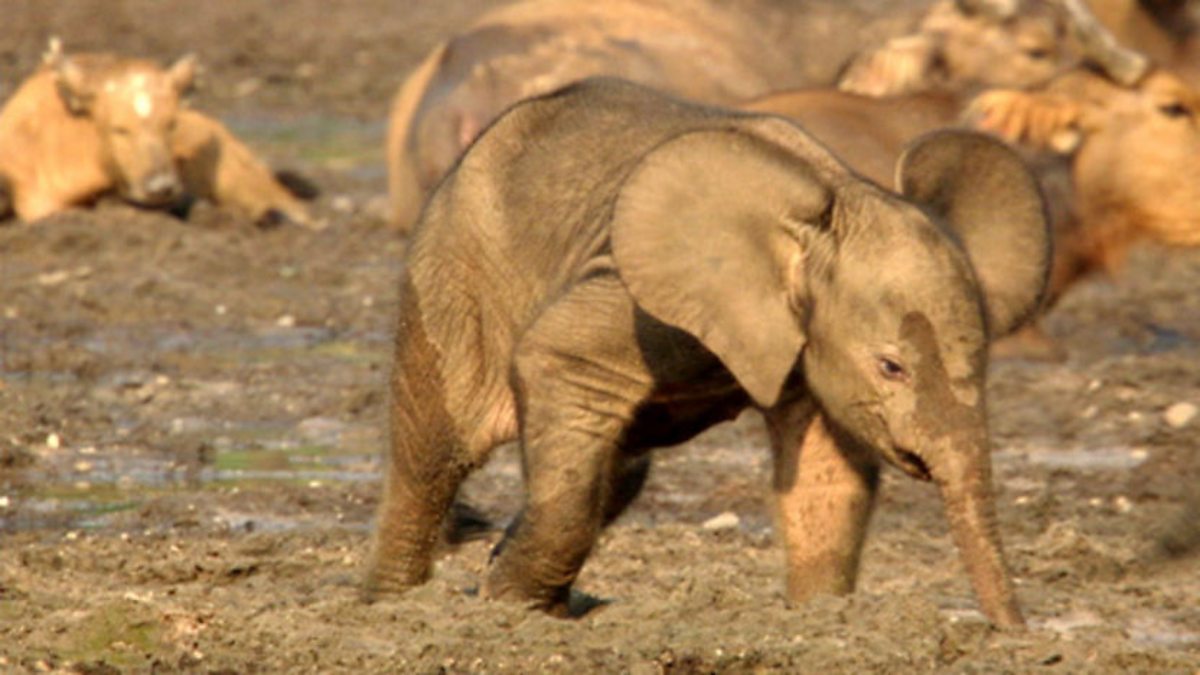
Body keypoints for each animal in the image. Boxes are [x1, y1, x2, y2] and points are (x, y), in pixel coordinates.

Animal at [366, 78, 1050, 628]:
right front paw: (509, 610)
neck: (837, 200)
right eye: (892, 367)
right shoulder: (639, 299)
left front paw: (820, 621)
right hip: (452, 271)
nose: (1016, 635)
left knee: (617, 472)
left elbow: (827, 477)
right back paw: (393, 607)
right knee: (434, 454)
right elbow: (555, 355)